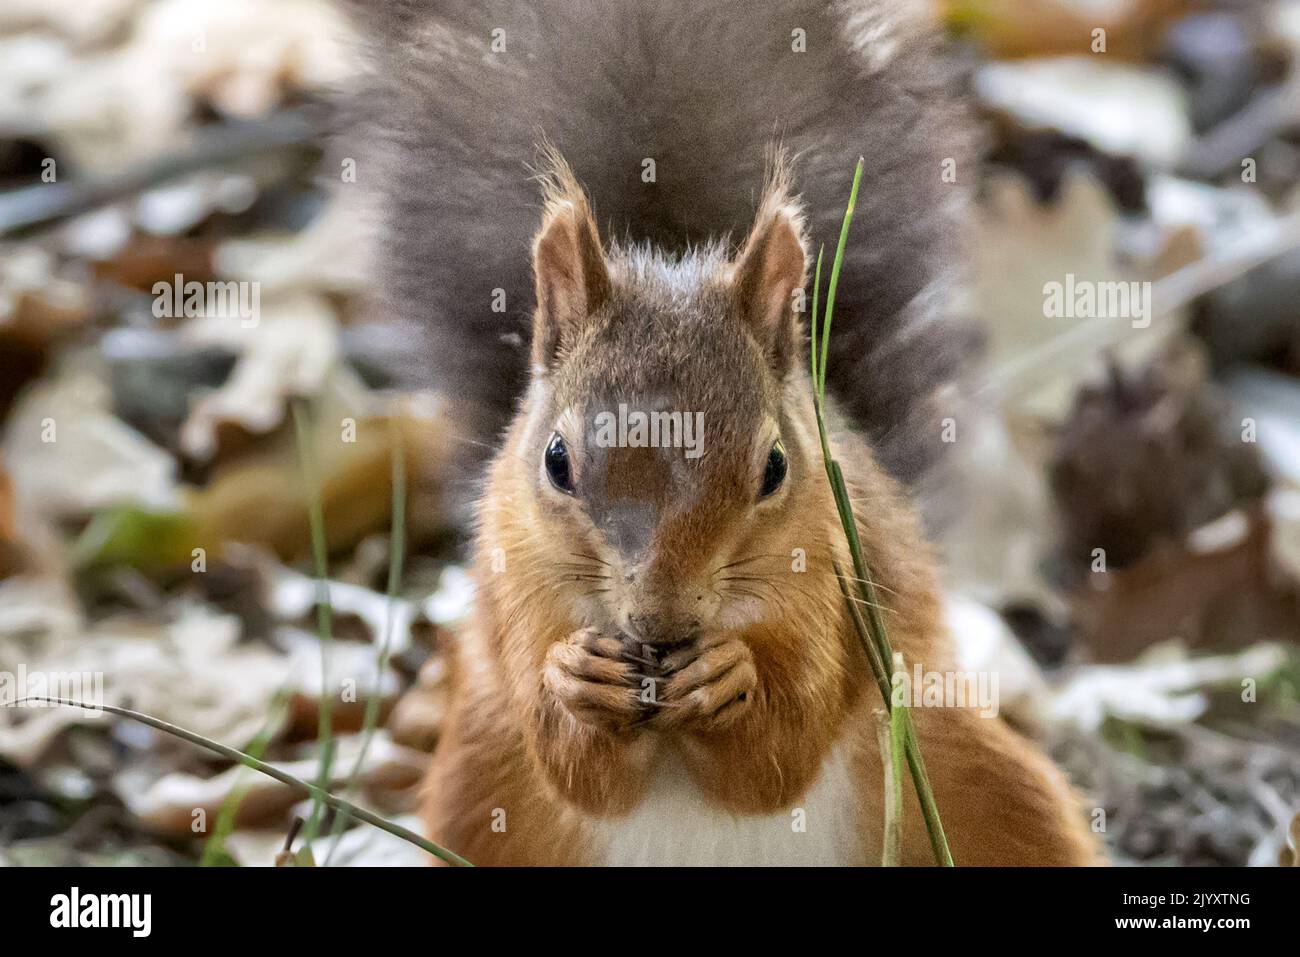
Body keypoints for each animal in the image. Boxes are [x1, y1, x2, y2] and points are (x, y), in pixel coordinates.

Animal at [343, 0, 1102, 865]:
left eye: (774, 468)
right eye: (556, 460)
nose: (661, 620)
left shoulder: (834, 582)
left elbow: (783, 750)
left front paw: (730, 679)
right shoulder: (517, 577)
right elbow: (574, 766)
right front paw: (573, 678)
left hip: (986, 785)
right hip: (479, 788)